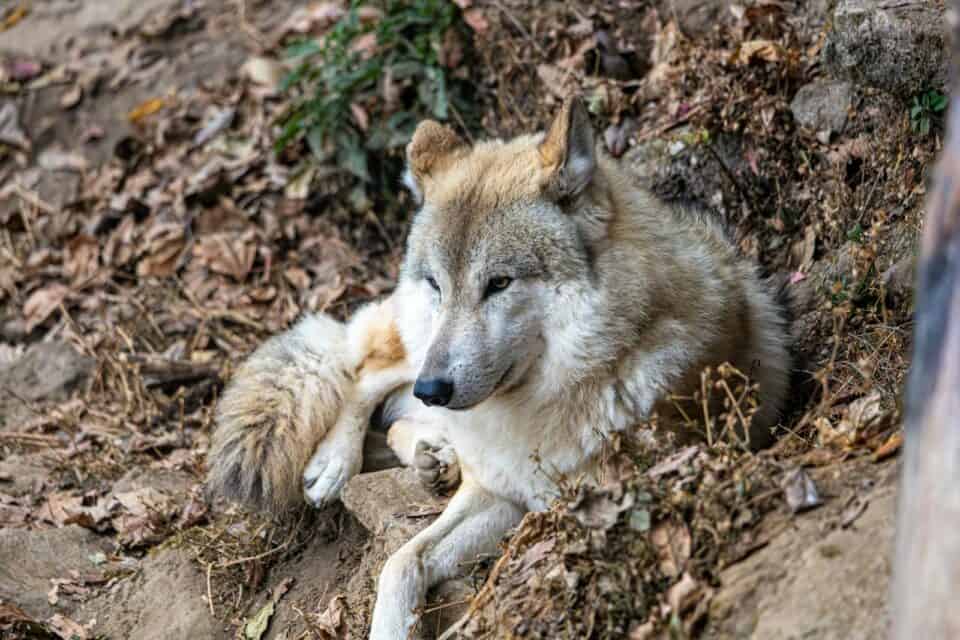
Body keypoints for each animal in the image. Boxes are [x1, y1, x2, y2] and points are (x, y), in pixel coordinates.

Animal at [207, 96, 792, 639]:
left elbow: (414, 561)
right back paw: (342, 461)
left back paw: (431, 453)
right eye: (438, 284)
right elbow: (399, 564)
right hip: (414, 348)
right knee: (366, 371)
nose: (434, 388)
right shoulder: (495, 488)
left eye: (499, 283)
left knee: (394, 411)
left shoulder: (528, 502)